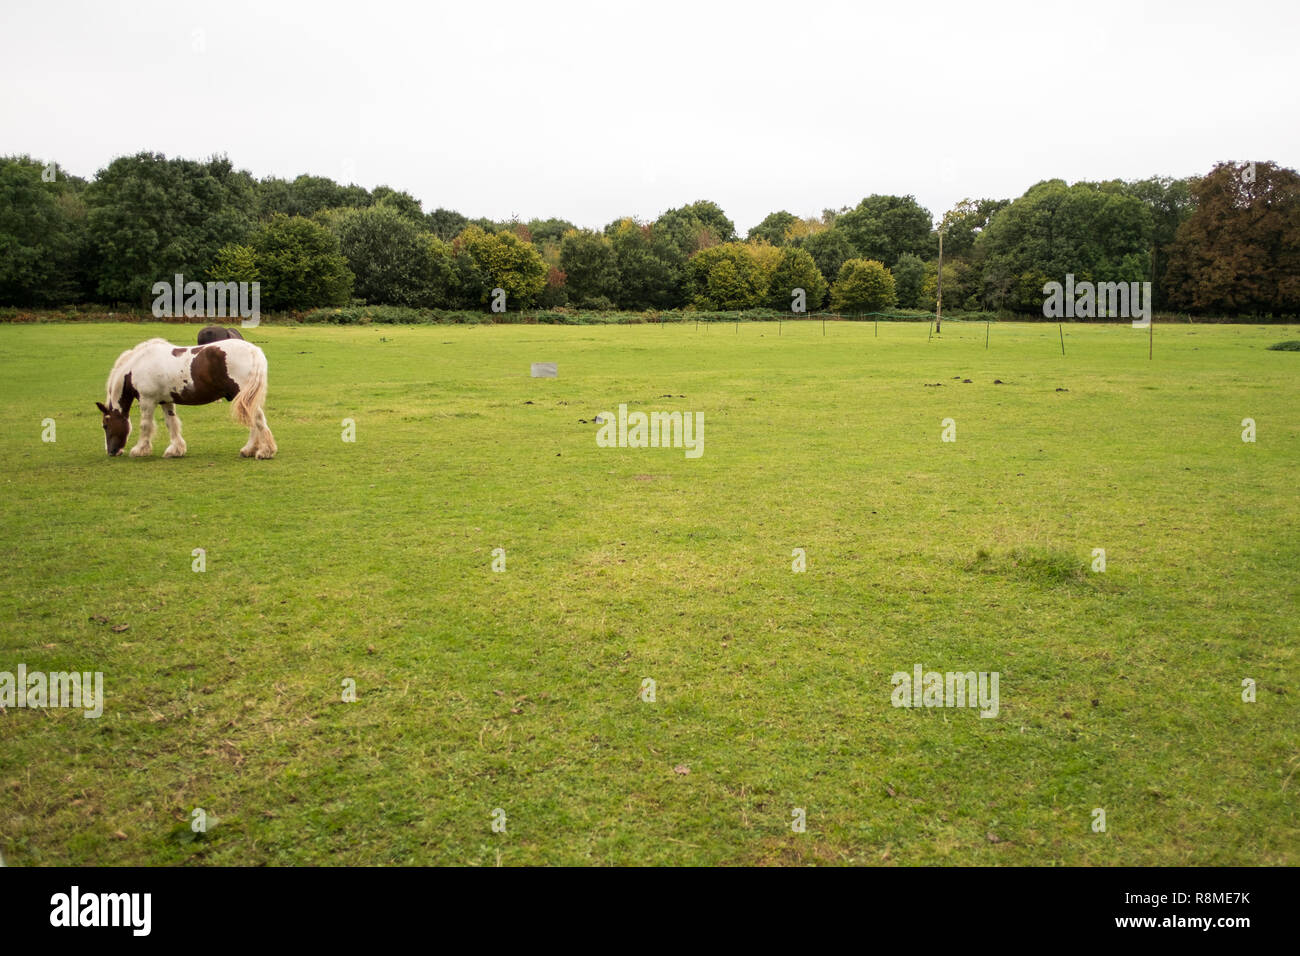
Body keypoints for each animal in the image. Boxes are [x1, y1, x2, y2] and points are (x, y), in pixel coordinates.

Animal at [96, 338, 276, 459]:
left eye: (105, 425)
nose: (111, 452)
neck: (138, 365)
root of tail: (253, 350)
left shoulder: (147, 401)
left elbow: (145, 426)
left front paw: (140, 449)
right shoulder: (166, 401)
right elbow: (171, 423)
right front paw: (176, 449)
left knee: (257, 420)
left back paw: (265, 451)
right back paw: (250, 450)